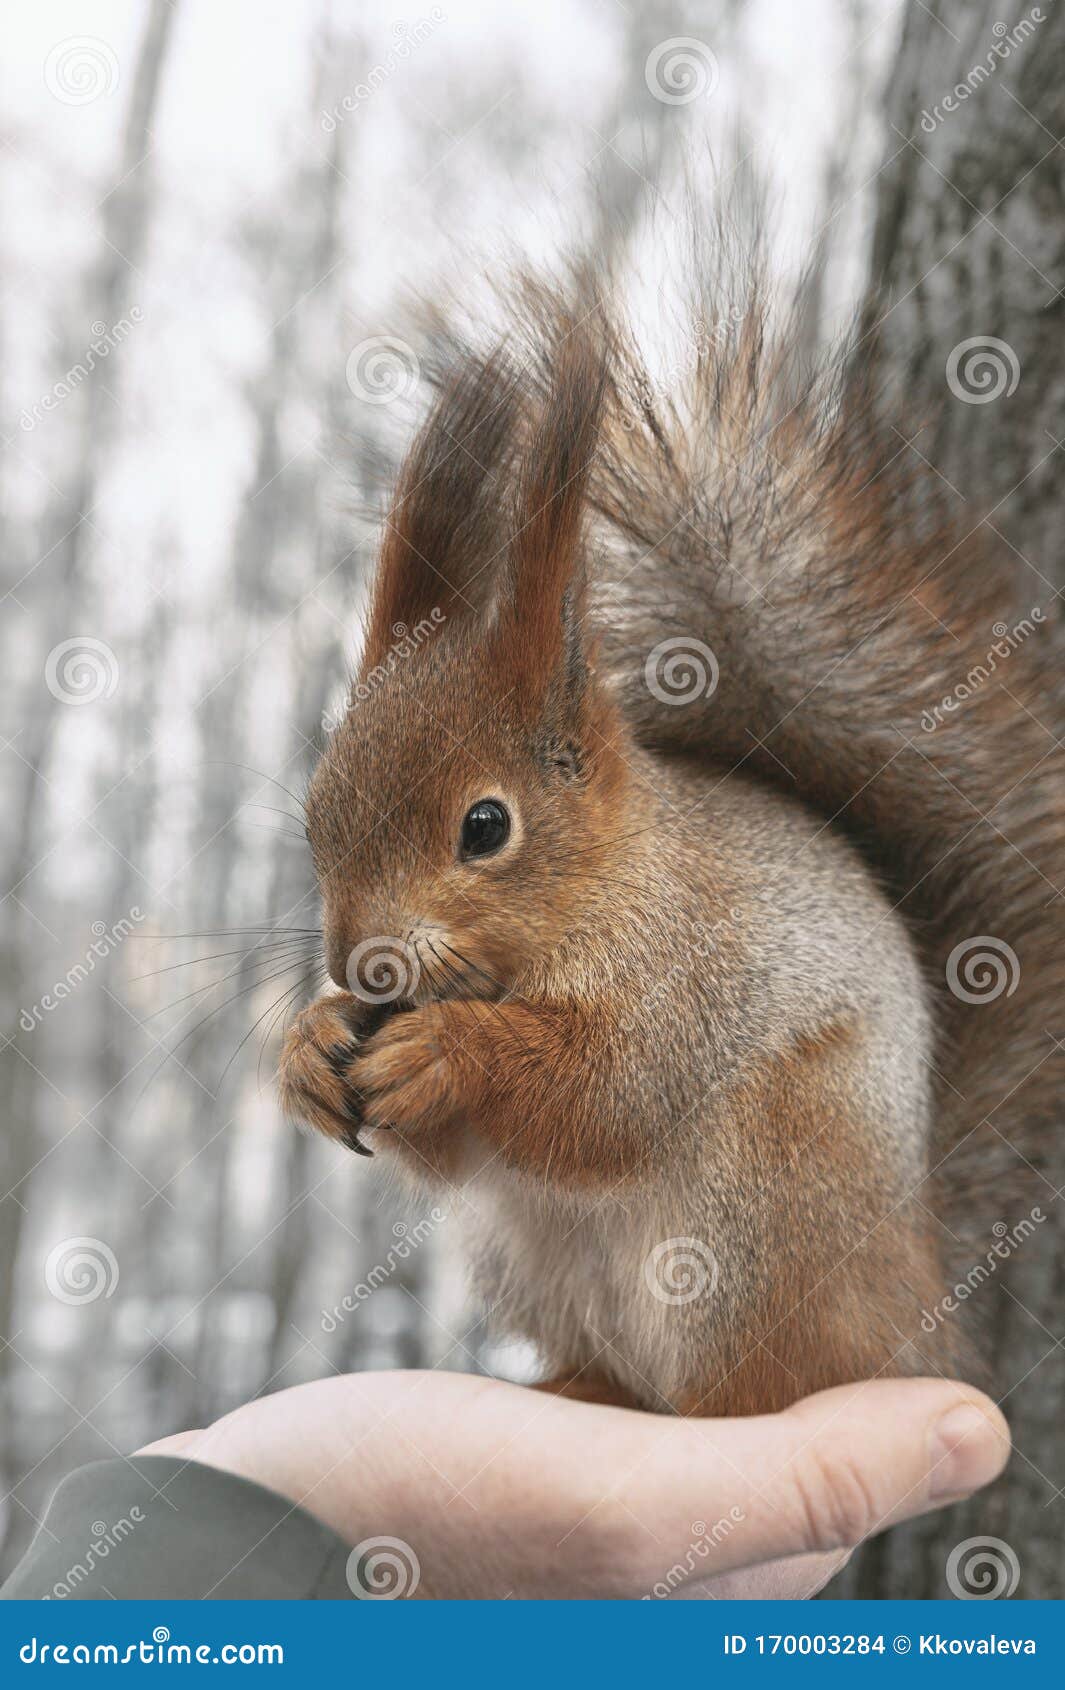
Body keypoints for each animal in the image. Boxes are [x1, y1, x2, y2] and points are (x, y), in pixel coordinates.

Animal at [279, 267, 1065, 1416]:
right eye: (314, 811)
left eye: (485, 826)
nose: (359, 963)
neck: (612, 879)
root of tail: (917, 1298)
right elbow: (457, 1152)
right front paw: (307, 1043)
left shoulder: (692, 972)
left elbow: (607, 1090)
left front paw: (446, 1049)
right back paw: (579, 1387)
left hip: (760, 1209)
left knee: (757, 1387)